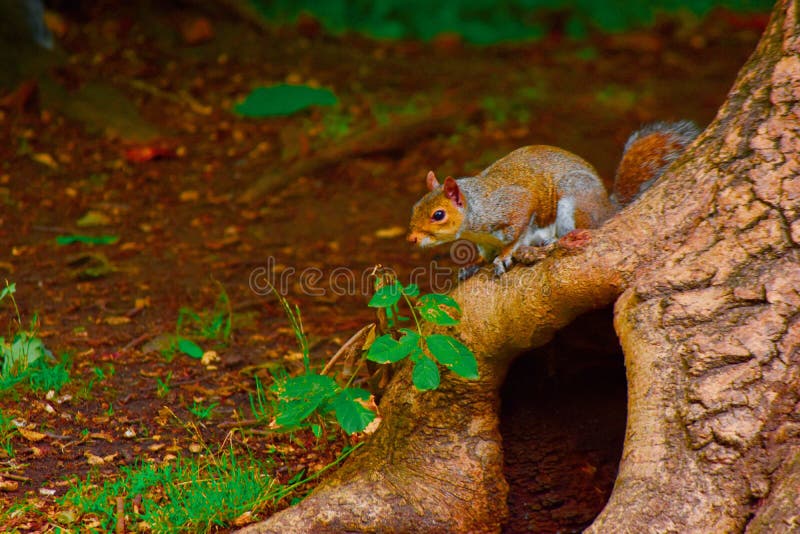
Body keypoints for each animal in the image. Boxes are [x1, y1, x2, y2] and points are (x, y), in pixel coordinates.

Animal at [407, 120, 700, 277]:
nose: (412, 239)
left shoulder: (513, 205)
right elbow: (483, 255)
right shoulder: (482, 240)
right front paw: (473, 265)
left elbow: (517, 232)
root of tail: (608, 208)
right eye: (415, 207)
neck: (476, 207)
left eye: (438, 215)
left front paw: (504, 255)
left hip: (573, 202)